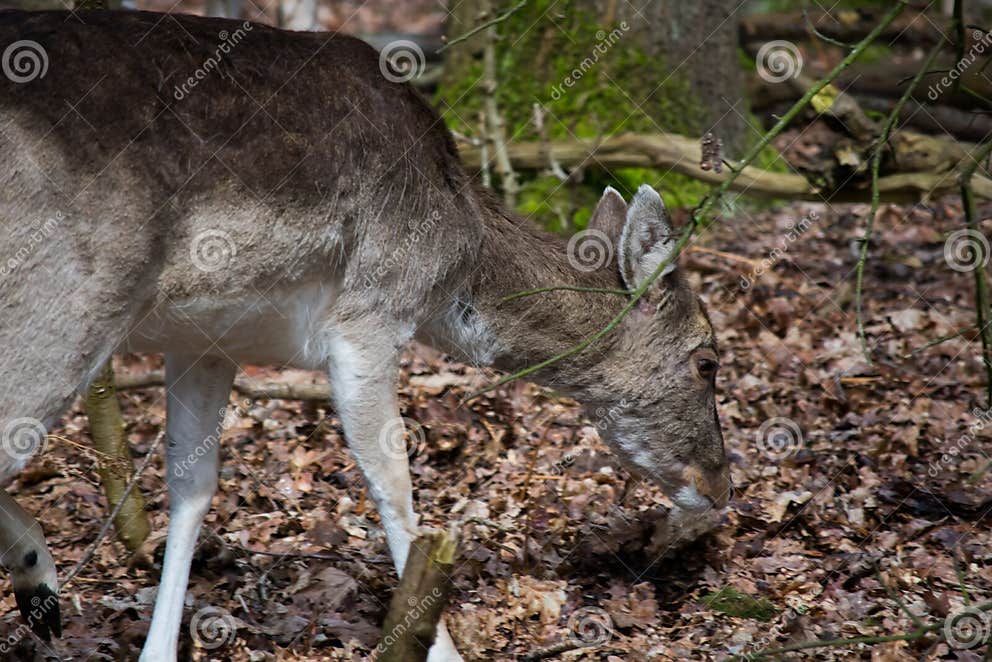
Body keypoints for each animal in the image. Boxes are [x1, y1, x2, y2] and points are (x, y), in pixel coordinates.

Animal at [0, 9, 732, 661]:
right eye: (708, 361)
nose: (722, 488)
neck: (454, 260)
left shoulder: (206, 338)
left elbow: (193, 486)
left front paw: (156, 650)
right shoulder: (369, 315)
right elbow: (393, 482)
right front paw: (441, 650)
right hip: (62, 306)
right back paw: (37, 573)